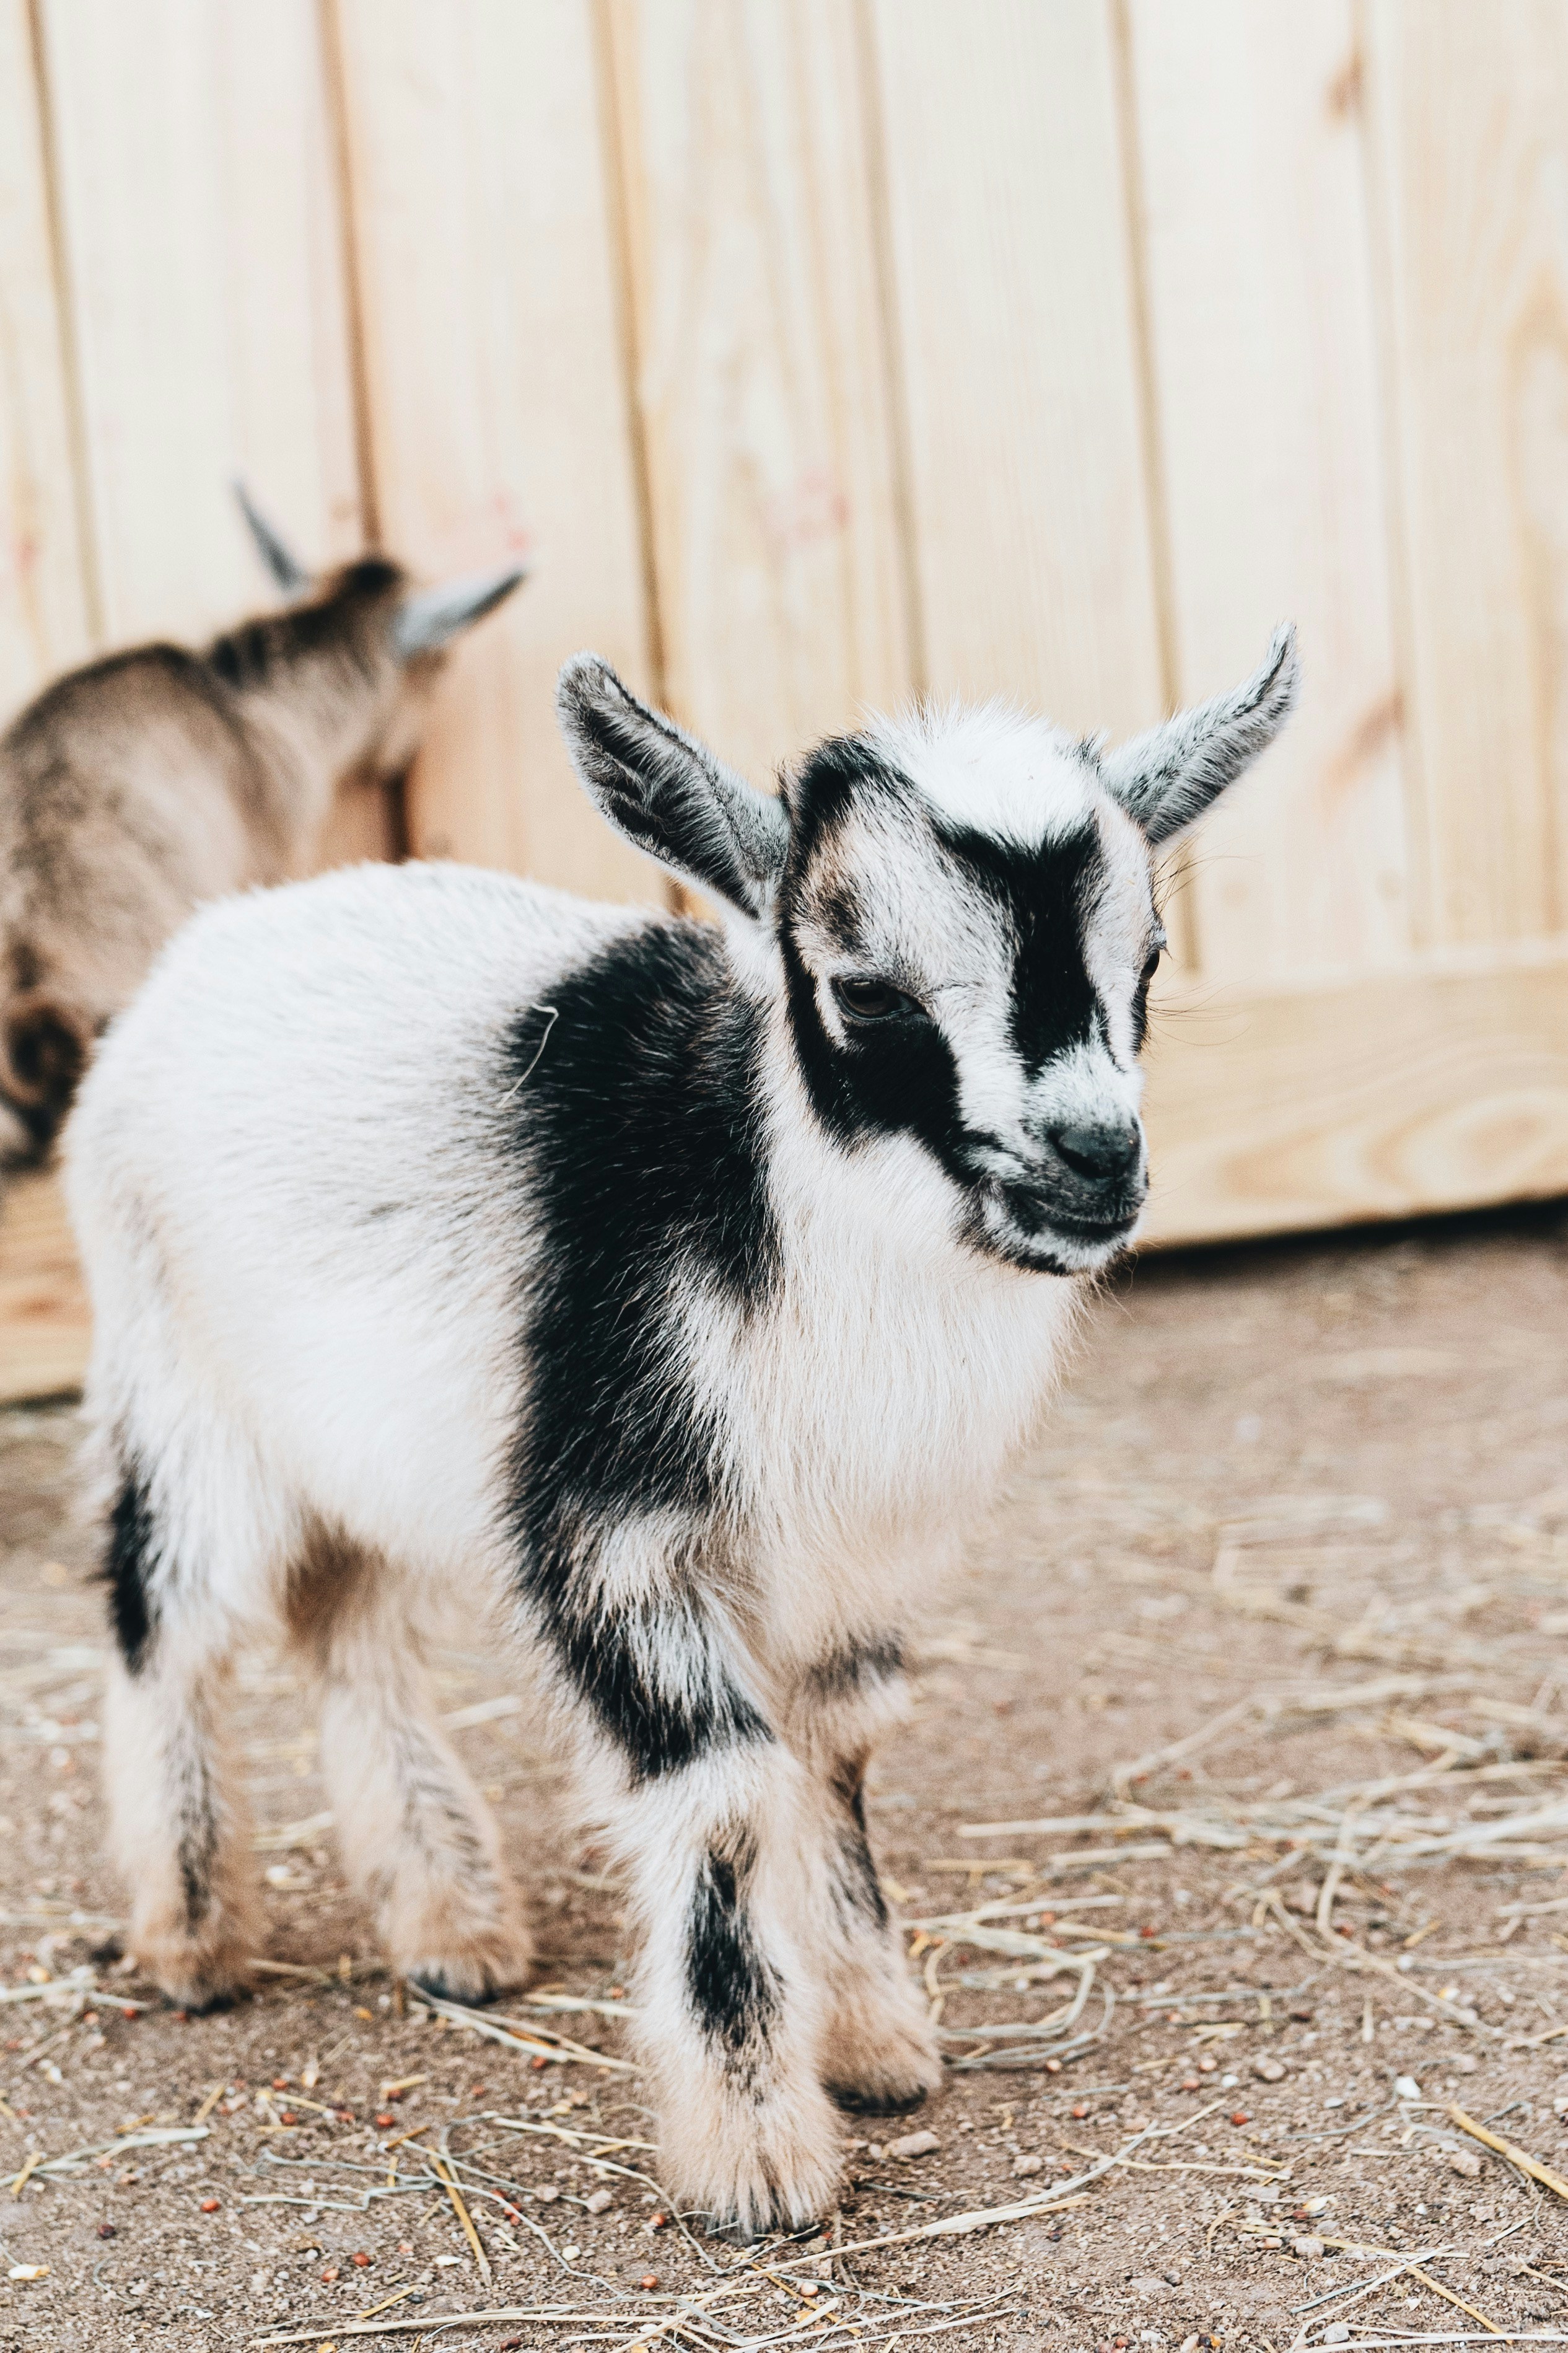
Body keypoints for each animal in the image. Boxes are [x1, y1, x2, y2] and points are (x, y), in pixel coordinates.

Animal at [65, 627, 1297, 2234]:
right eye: (863, 990)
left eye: (1142, 961)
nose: (1093, 1159)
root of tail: (195, 958)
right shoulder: (615, 1519)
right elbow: (719, 1791)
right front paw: (756, 2156)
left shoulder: (849, 1556)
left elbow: (830, 1751)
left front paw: (875, 2038)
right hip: (178, 1382)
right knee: (168, 1620)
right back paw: (194, 1936)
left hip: (361, 1442)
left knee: (349, 1625)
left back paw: (451, 1920)